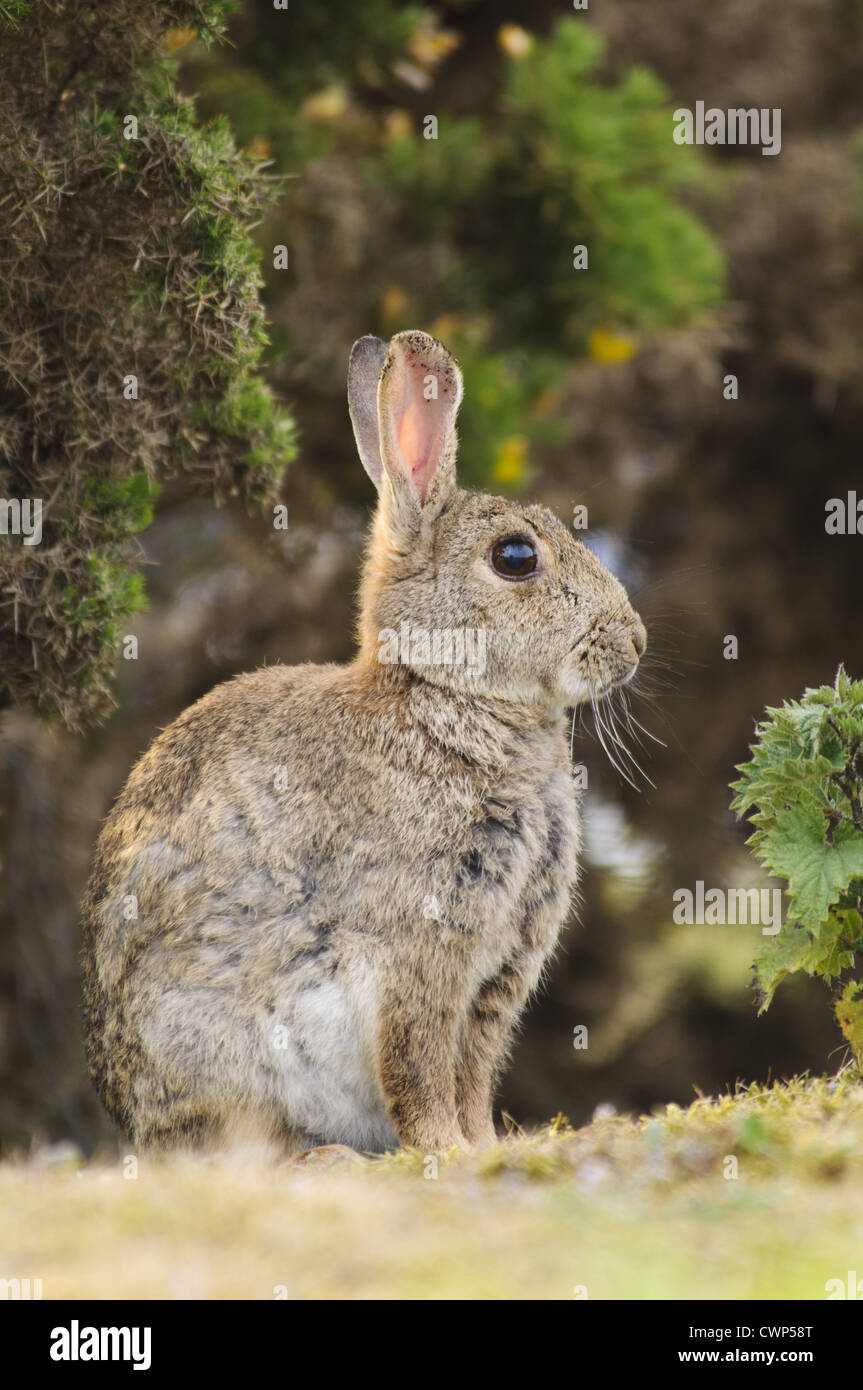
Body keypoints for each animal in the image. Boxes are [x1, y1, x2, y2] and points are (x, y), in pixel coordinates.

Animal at [81, 330, 647, 1156]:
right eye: (515, 557)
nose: (633, 643)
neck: (443, 699)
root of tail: (138, 1131)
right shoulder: (419, 952)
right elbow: (421, 1064)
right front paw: (444, 1149)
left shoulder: (496, 978)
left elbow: (473, 1073)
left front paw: (482, 1145)